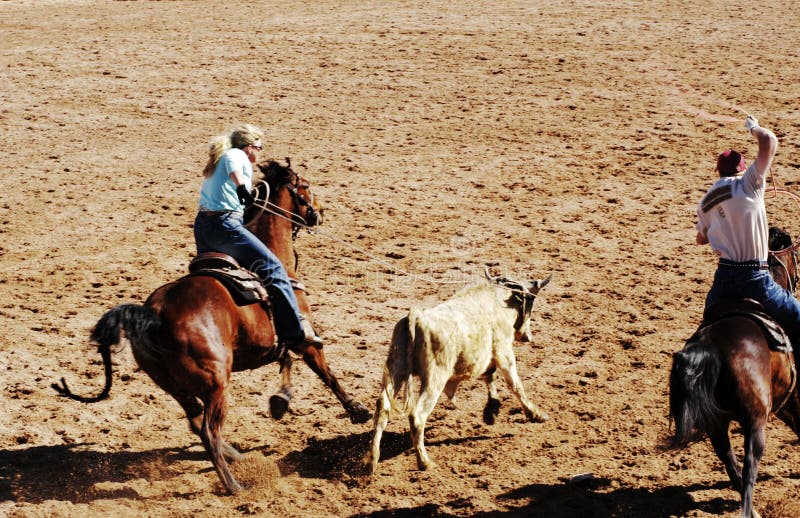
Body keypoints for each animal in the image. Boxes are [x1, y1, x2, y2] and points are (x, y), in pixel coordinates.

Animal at [53, 159, 371, 494]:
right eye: (306, 186)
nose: (319, 212)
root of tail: (154, 313)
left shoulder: (277, 342)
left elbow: (285, 361)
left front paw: (280, 401)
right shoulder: (303, 337)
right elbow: (327, 374)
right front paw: (357, 410)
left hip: (172, 384)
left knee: (195, 422)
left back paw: (236, 455)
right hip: (216, 383)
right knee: (208, 431)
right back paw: (235, 485)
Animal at [669, 226, 800, 518]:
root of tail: (710, 346)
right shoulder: (794, 399)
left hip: (717, 425)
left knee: (729, 462)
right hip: (754, 422)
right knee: (749, 465)